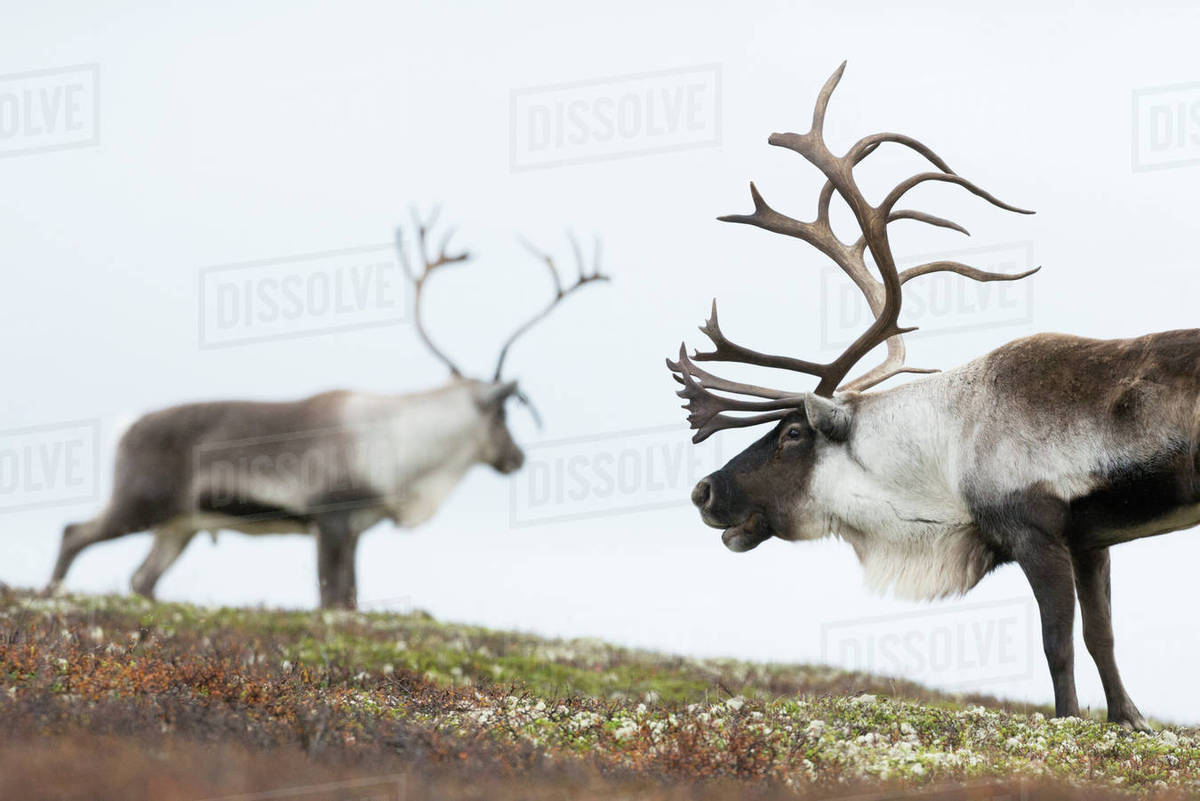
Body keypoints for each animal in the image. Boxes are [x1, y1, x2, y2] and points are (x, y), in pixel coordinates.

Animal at [45, 209, 609, 609]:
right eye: (504, 414)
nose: (518, 459)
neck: (408, 447)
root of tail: (125, 427)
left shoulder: (355, 528)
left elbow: (351, 600)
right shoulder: (331, 519)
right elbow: (332, 600)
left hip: (179, 526)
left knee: (141, 579)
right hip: (140, 503)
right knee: (74, 533)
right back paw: (51, 595)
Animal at [667, 63, 1199, 732]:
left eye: (792, 433)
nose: (704, 491)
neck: (947, 451)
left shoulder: (1036, 532)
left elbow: (1057, 644)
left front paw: (1068, 721)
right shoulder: (1092, 542)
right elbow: (1102, 637)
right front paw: (1129, 721)